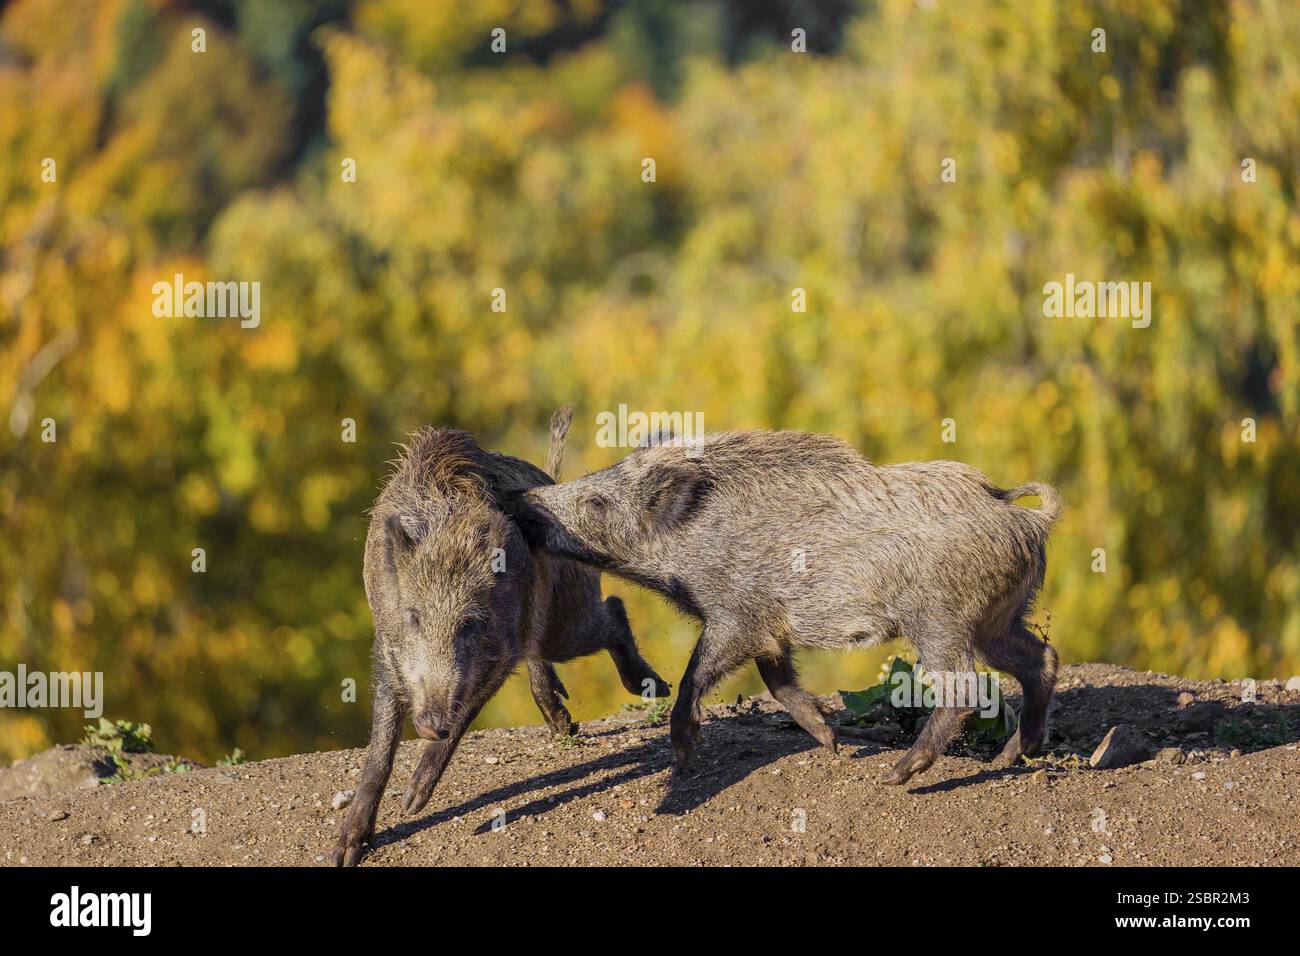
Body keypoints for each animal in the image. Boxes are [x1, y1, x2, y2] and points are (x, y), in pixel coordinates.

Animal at [330, 406, 669, 866]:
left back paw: (654, 689)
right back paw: (563, 725)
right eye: (414, 617)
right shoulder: (388, 649)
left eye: (470, 623)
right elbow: (379, 751)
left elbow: (465, 713)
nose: (430, 724)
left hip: (567, 619)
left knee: (612, 609)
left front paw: (412, 801)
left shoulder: (500, 652)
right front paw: (343, 852)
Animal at [508, 429, 1061, 787]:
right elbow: (776, 680)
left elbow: (696, 673)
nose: (522, 498)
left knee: (965, 688)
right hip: (997, 620)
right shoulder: (769, 628)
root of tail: (1027, 520)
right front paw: (830, 740)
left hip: (941, 619)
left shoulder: (736, 616)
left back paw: (896, 776)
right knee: (1042, 660)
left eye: (598, 503)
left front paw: (683, 752)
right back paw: (1010, 757)